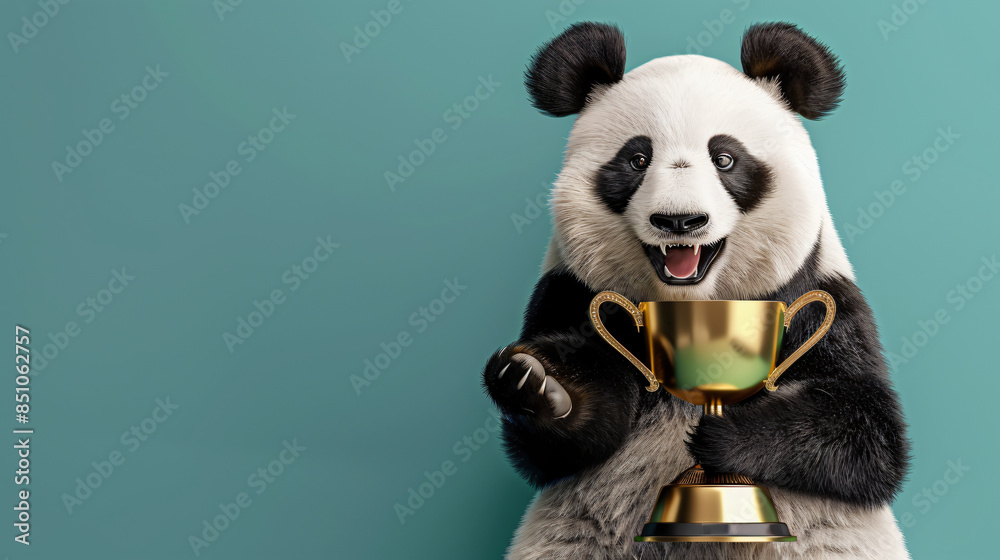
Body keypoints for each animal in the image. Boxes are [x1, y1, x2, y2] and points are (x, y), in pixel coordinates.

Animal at [482, 22, 911, 560]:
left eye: (724, 158)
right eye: (637, 158)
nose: (679, 221)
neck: (695, 301)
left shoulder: (822, 298)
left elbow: (870, 435)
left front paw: (729, 436)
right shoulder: (568, 291)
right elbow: (556, 450)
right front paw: (537, 383)